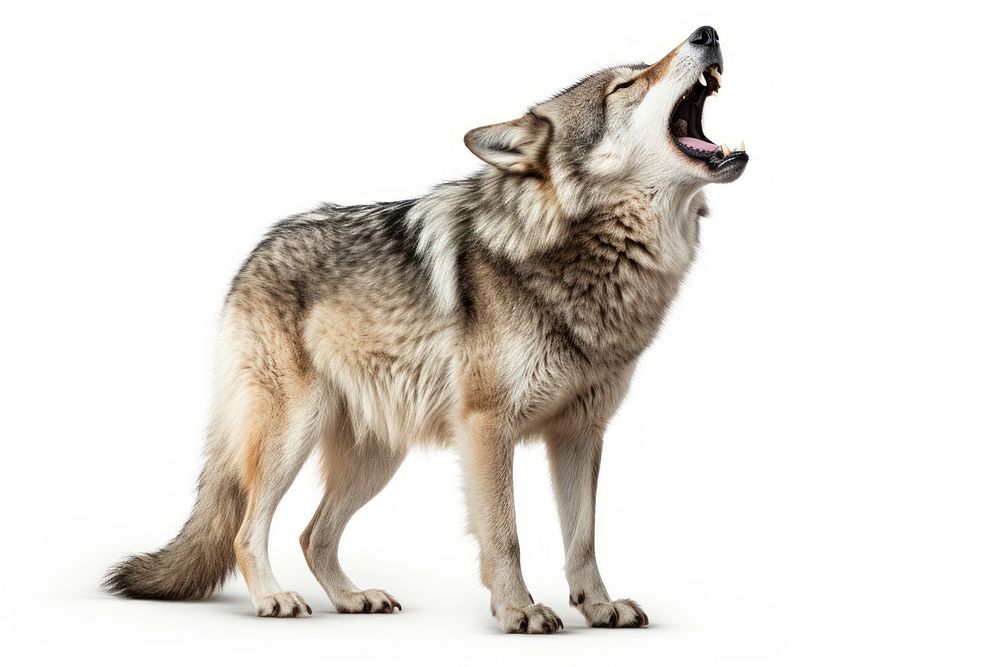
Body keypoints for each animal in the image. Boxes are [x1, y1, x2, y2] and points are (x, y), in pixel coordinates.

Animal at [104, 25, 747, 633]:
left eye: (641, 71)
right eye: (627, 85)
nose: (707, 31)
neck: (588, 258)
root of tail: (256, 251)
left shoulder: (580, 433)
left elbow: (583, 539)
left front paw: (599, 607)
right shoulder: (487, 427)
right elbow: (505, 534)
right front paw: (519, 611)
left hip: (377, 458)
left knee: (313, 534)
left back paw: (353, 598)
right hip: (293, 431)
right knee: (247, 528)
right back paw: (273, 599)